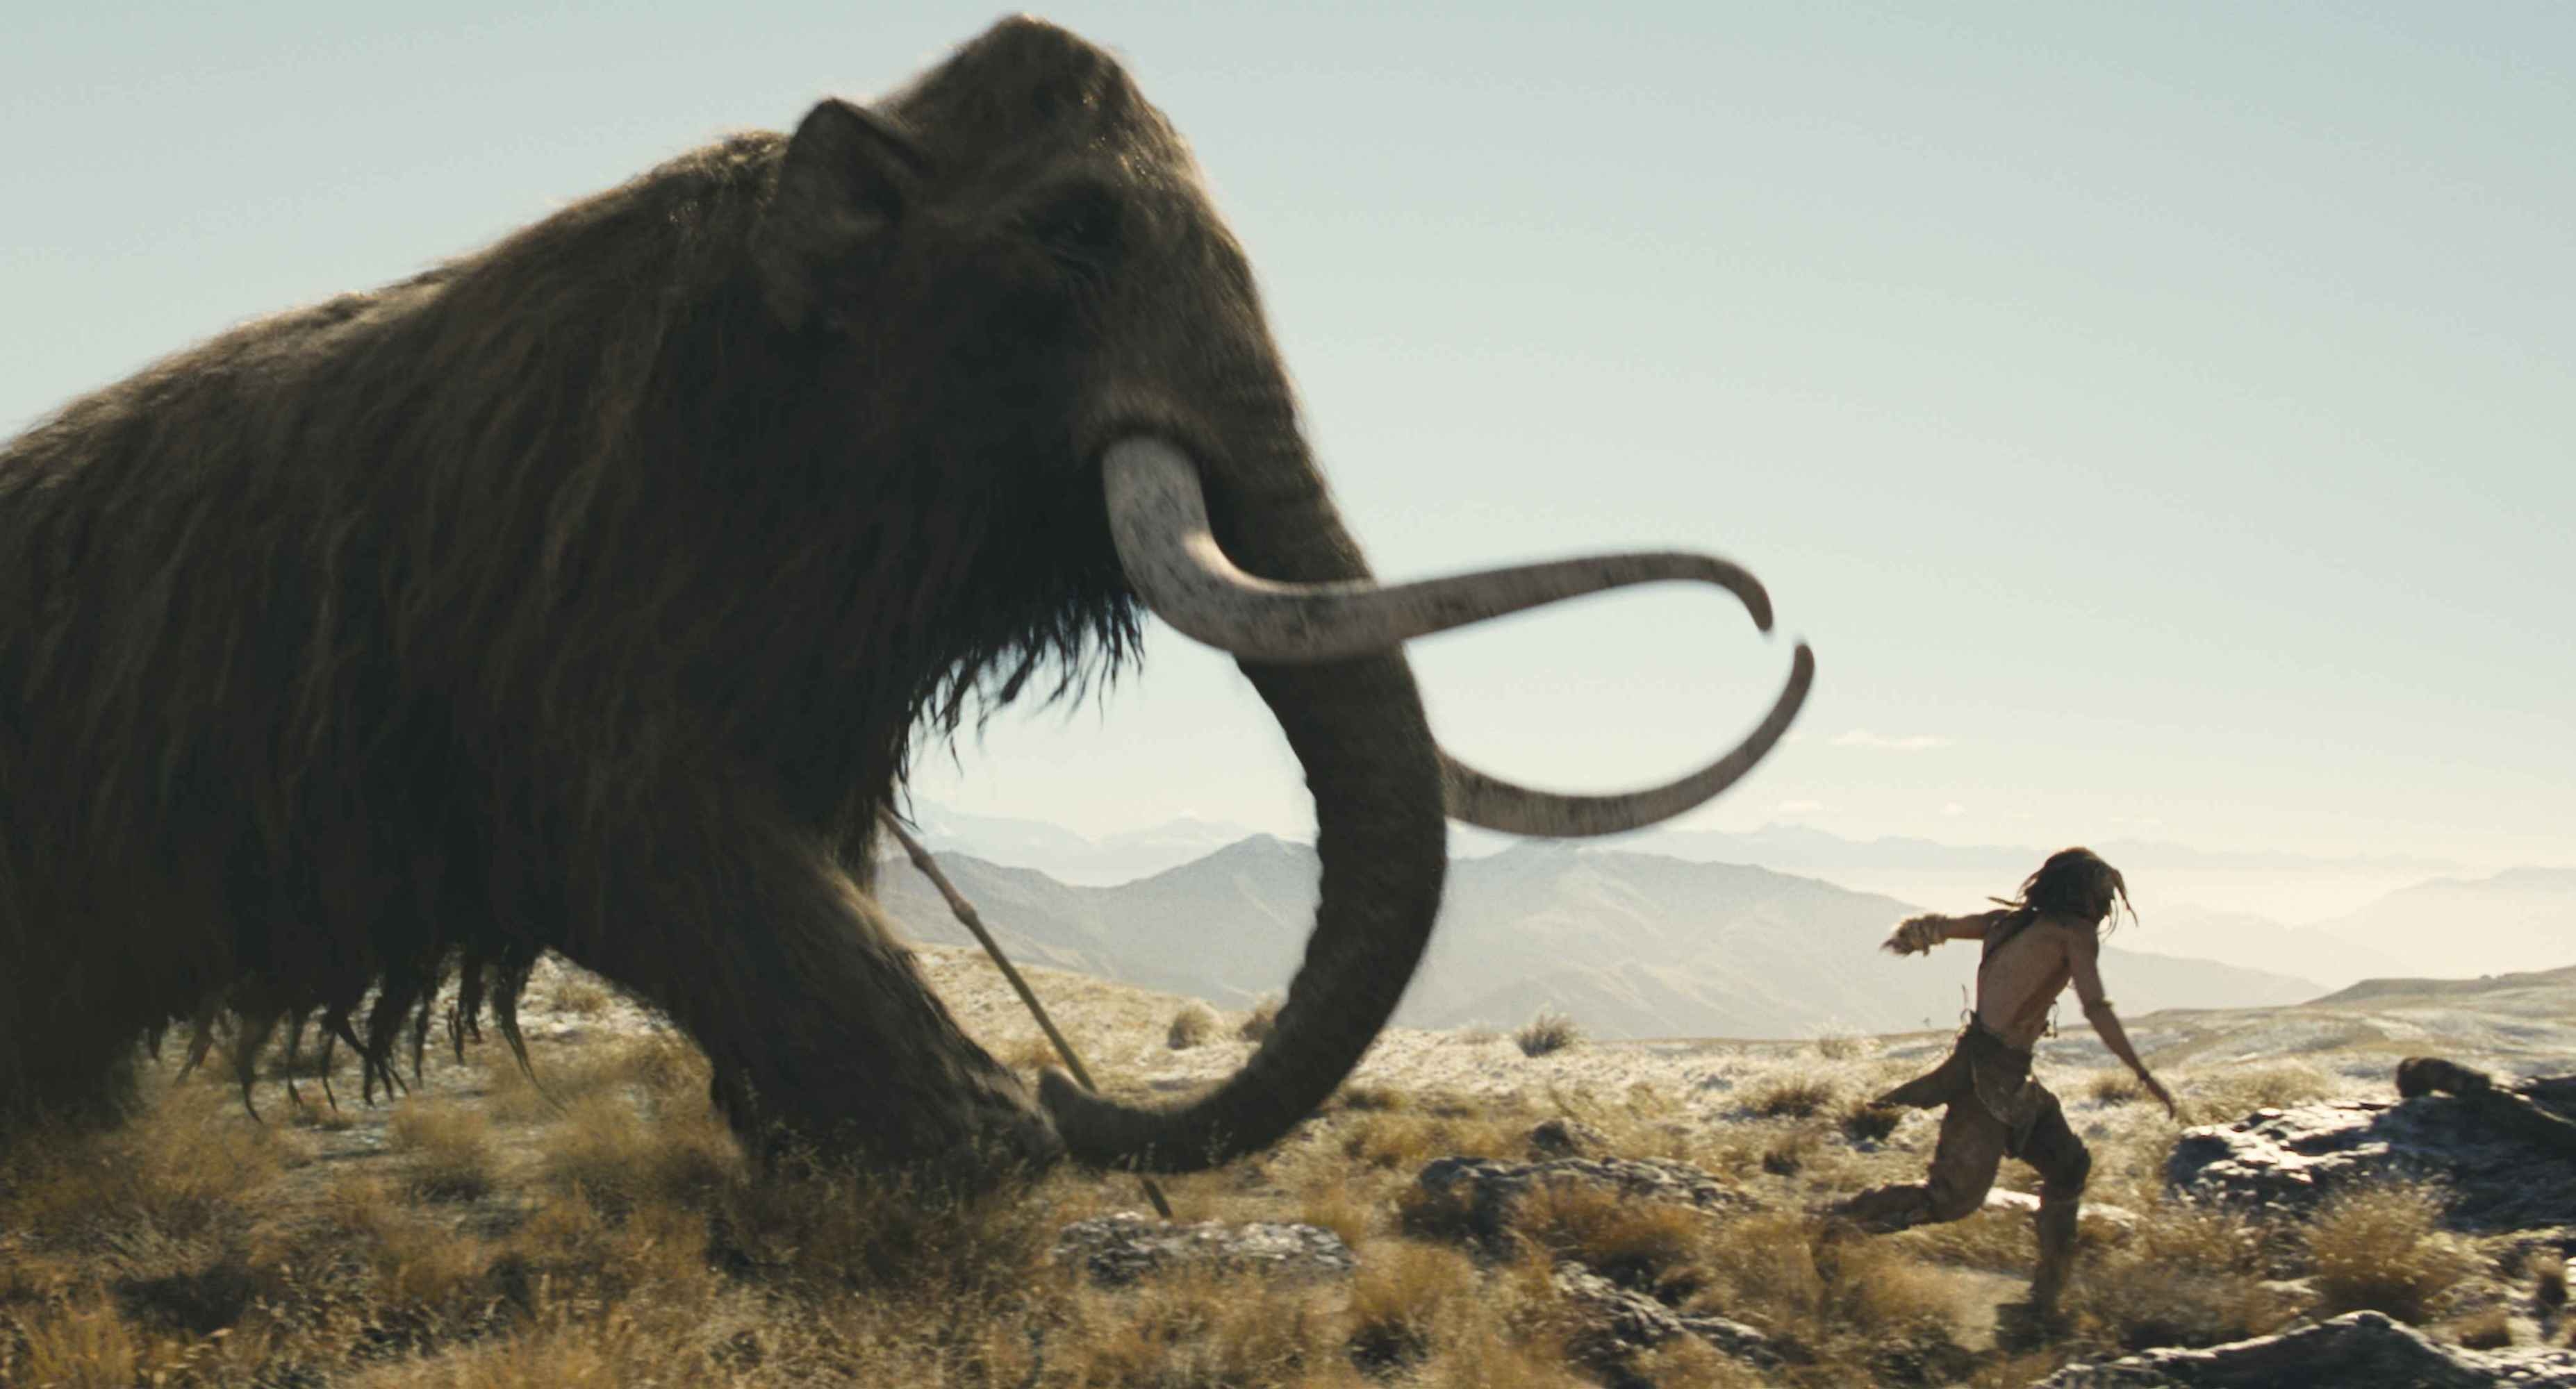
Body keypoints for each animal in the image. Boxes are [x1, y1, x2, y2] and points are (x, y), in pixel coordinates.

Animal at [0, 18, 1810, 1179]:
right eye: (1076, 226)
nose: (1077, 1099)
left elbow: (807, 878)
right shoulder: (577, 647)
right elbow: (670, 852)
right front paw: (986, 1134)